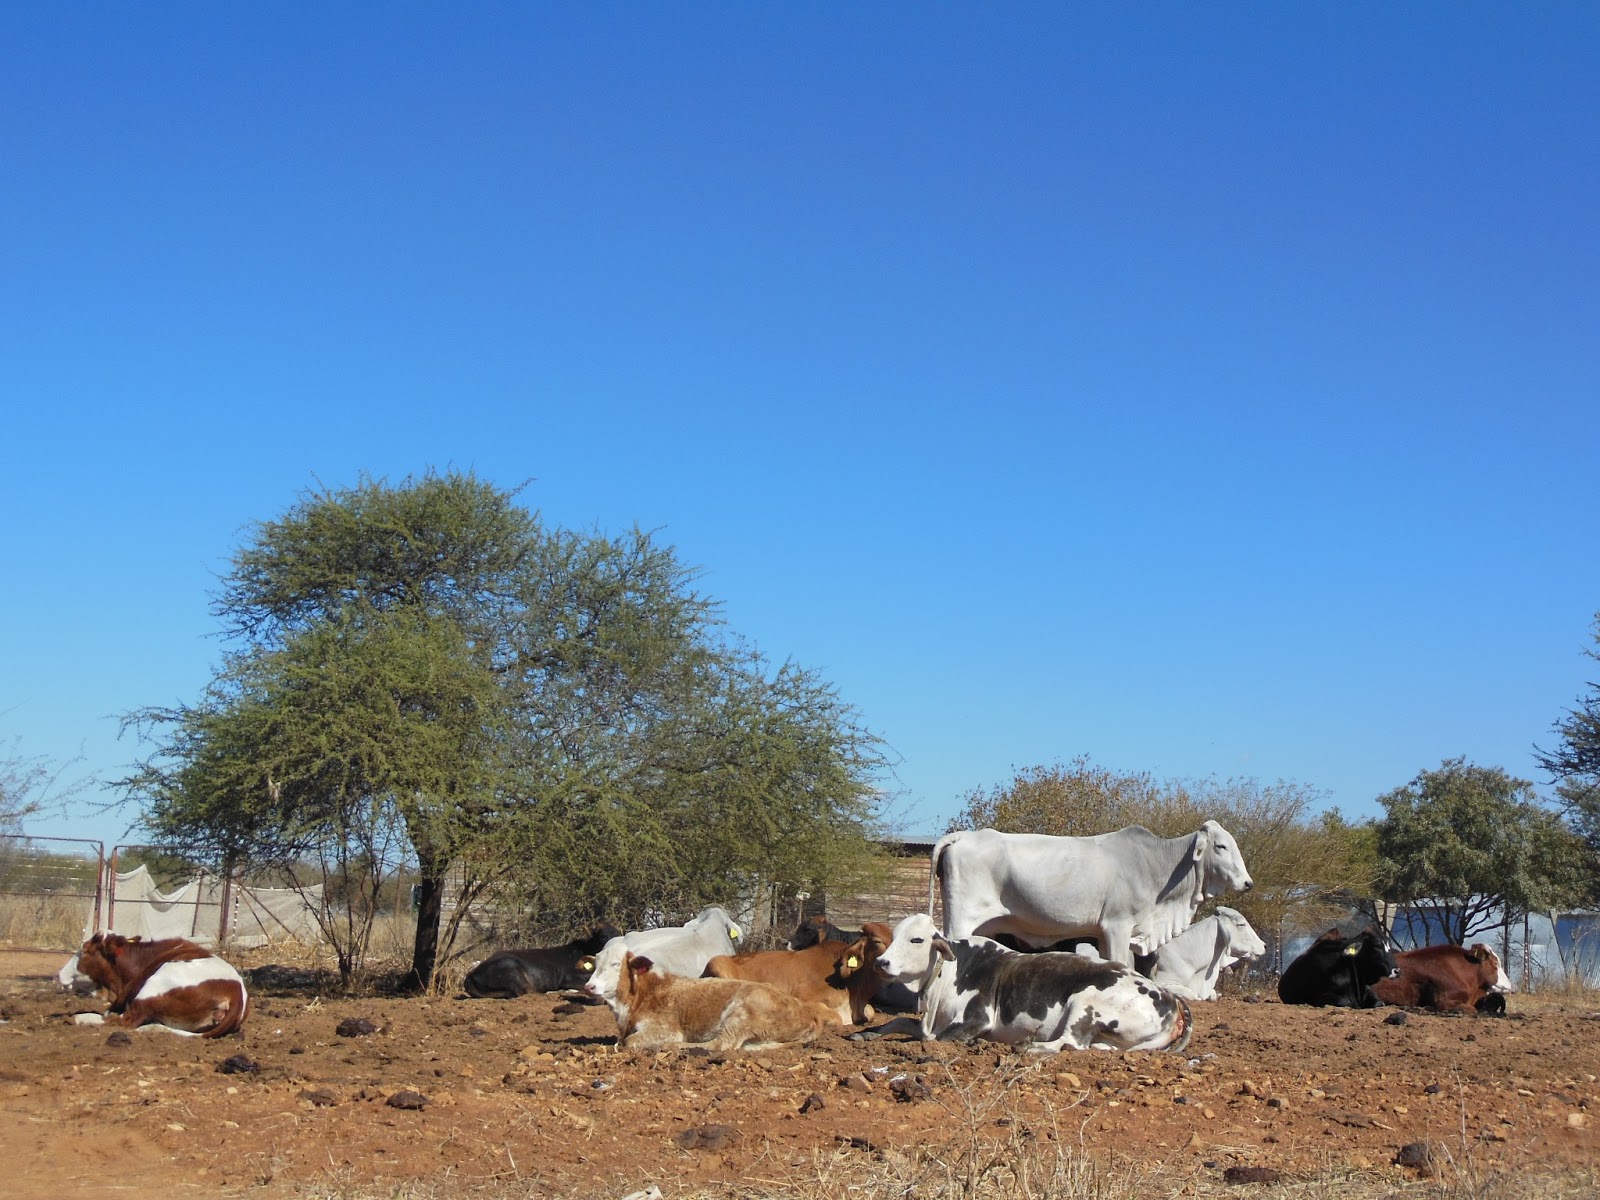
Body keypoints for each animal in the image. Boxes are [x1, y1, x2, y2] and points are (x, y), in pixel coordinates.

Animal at [59, 933, 248, 1037]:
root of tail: (236, 992)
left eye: (84, 951)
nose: (59, 974)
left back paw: (77, 1018)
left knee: (123, 1021)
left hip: (154, 984)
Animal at [462, 923, 622, 999]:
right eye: (602, 936)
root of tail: (471, 974)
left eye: (619, 935)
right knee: (527, 992)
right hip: (512, 970)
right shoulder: (569, 976)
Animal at [603, 951, 831, 1050]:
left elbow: (630, 1041)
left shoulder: (665, 1028)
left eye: (616, 964)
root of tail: (811, 1014)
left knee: (719, 1044)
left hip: (741, 1014)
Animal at [866, 912, 1193, 1053]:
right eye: (893, 937)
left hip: (1084, 1003)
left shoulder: (977, 1019)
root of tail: (1170, 998)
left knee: (1069, 1043)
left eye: (916, 939)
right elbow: (898, 1023)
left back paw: (1027, 1045)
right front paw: (866, 1034)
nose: (882, 963)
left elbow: (933, 1039)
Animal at [932, 821, 1253, 967]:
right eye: (1221, 846)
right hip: (960, 919)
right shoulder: (1118, 925)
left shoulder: (1102, 933)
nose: (1248, 883)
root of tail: (964, 836)